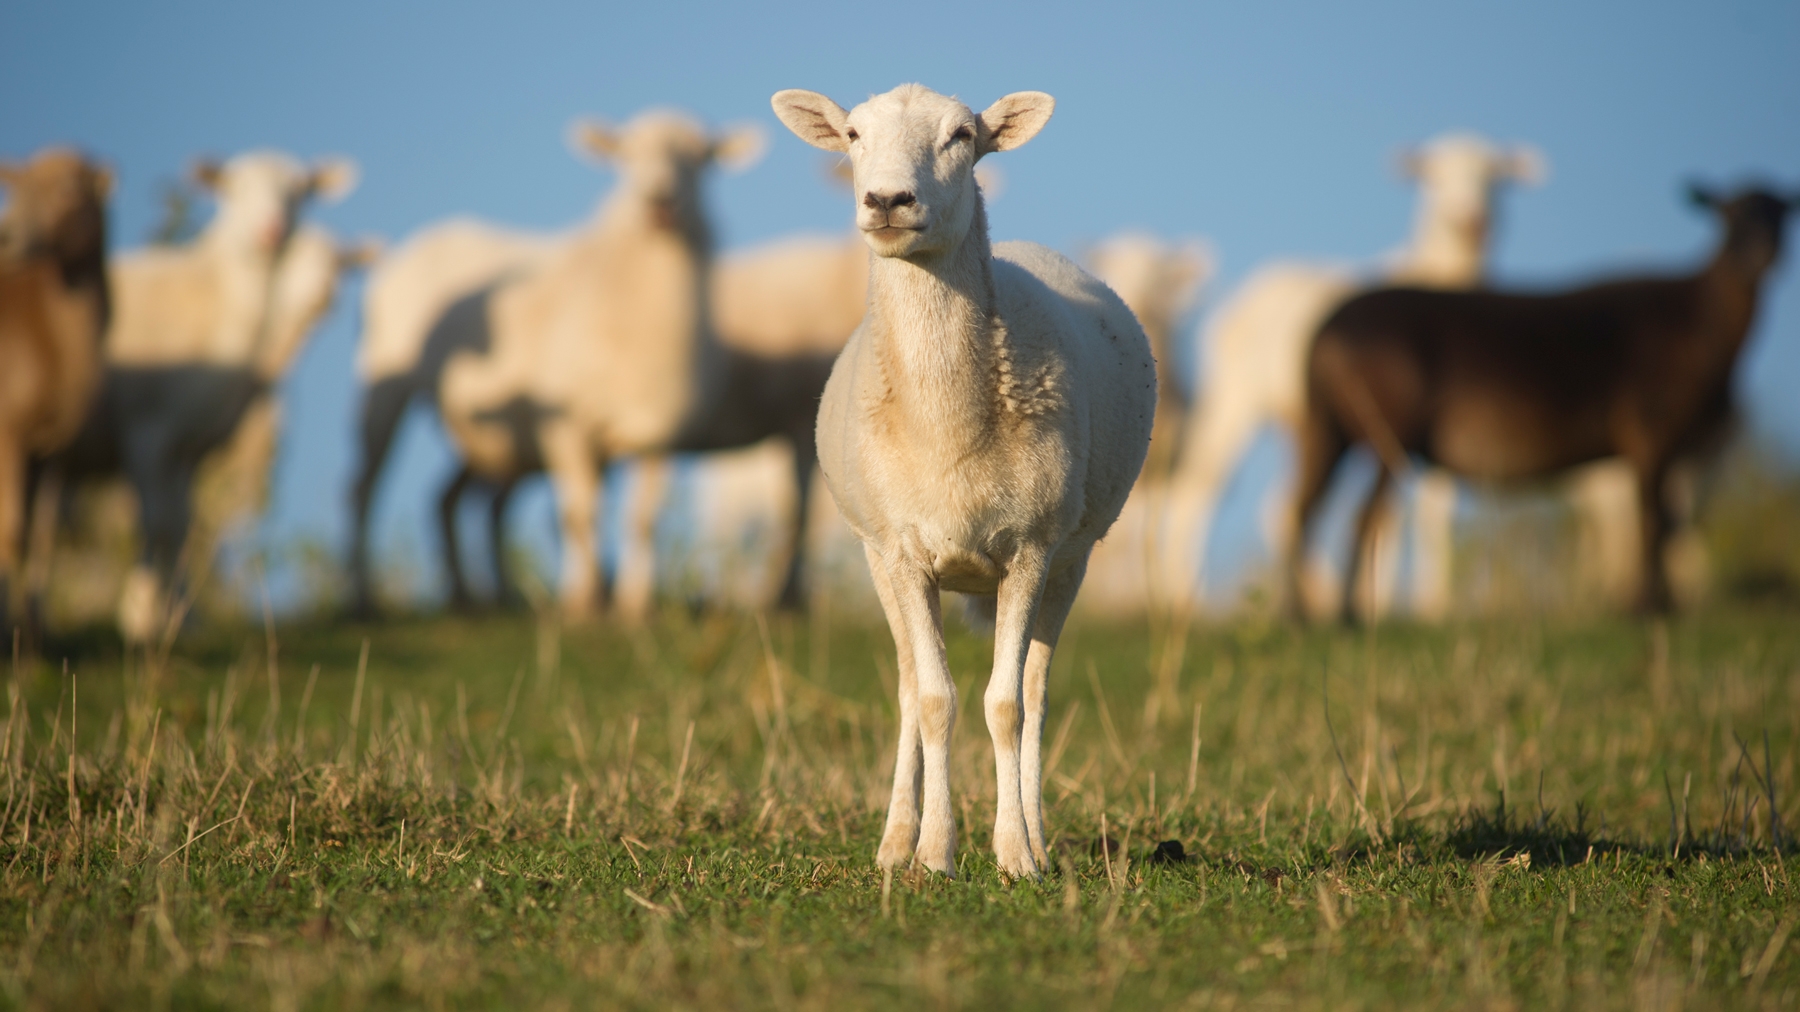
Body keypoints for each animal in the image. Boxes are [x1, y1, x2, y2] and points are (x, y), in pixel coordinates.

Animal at [430, 109, 763, 619]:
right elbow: (578, 513)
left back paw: (482, 598)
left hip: (495, 441)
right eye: (625, 154)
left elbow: (642, 518)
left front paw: (633, 606)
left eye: (700, 158)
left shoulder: (658, 433)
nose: (659, 202)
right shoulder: (565, 428)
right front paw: (582, 605)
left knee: (459, 501)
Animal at [771, 83, 1155, 878]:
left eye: (961, 136)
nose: (889, 199)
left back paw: (1036, 834)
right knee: (907, 687)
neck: (946, 424)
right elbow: (934, 700)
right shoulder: (902, 552)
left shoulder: (1032, 549)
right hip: (878, 558)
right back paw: (894, 841)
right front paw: (933, 852)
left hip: (1072, 557)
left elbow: (1006, 705)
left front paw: (1015, 855)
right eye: (852, 134)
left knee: (1036, 692)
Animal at [1162, 134, 1543, 614]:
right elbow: (1390, 516)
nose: (1472, 220)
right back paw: (1184, 598)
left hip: (1304, 422)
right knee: (1199, 493)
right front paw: (1378, 601)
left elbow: (1433, 513)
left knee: (1281, 506)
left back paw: (1314, 594)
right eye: (1433, 177)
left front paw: (1432, 604)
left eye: (1496, 179)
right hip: (1236, 397)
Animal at [1292, 184, 1793, 622]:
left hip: (1331, 430)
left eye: (1784, 214)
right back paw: (1345, 617)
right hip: (1386, 431)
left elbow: (1667, 524)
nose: (1763, 254)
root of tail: (1324, 333)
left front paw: (1659, 607)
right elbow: (1654, 522)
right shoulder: (1652, 432)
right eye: (1730, 215)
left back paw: (1306, 616)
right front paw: (1647, 609)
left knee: (1305, 510)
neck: (1700, 319)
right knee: (1362, 518)